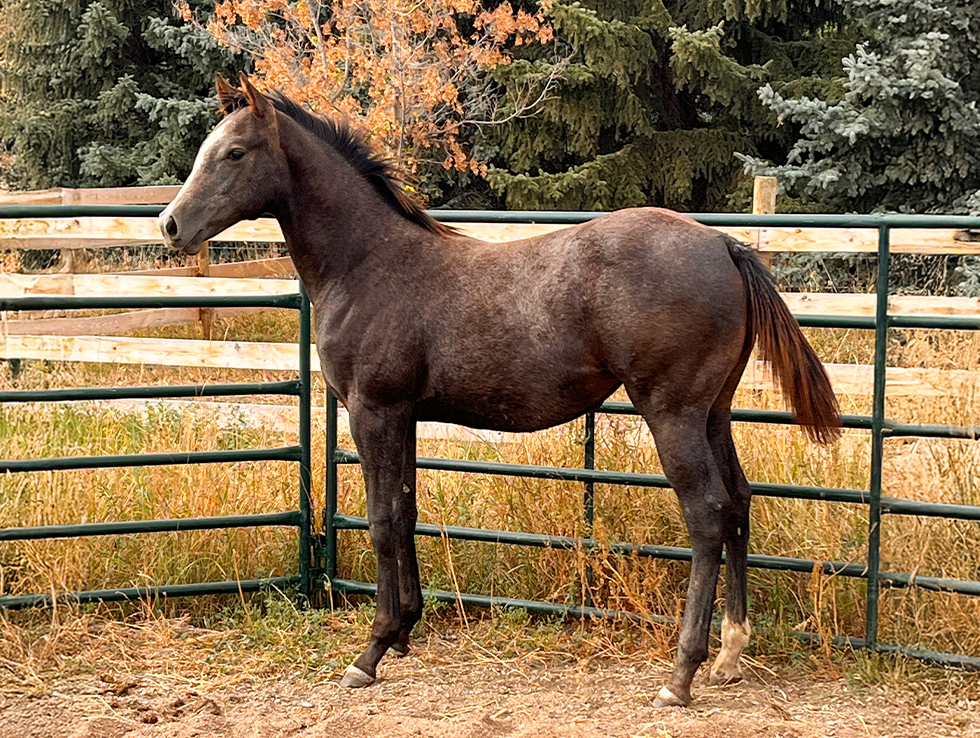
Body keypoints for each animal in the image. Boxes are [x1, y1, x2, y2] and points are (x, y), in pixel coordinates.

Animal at [160, 73, 840, 708]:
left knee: (707, 514)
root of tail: (722, 243)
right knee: (741, 502)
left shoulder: (373, 411)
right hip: (713, 413)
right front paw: (405, 631)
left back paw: (681, 675)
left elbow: (382, 520)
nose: (170, 225)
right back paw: (730, 653)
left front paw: (371, 652)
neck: (367, 264)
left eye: (235, 153)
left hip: (672, 414)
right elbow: (407, 512)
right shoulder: (405, 416)